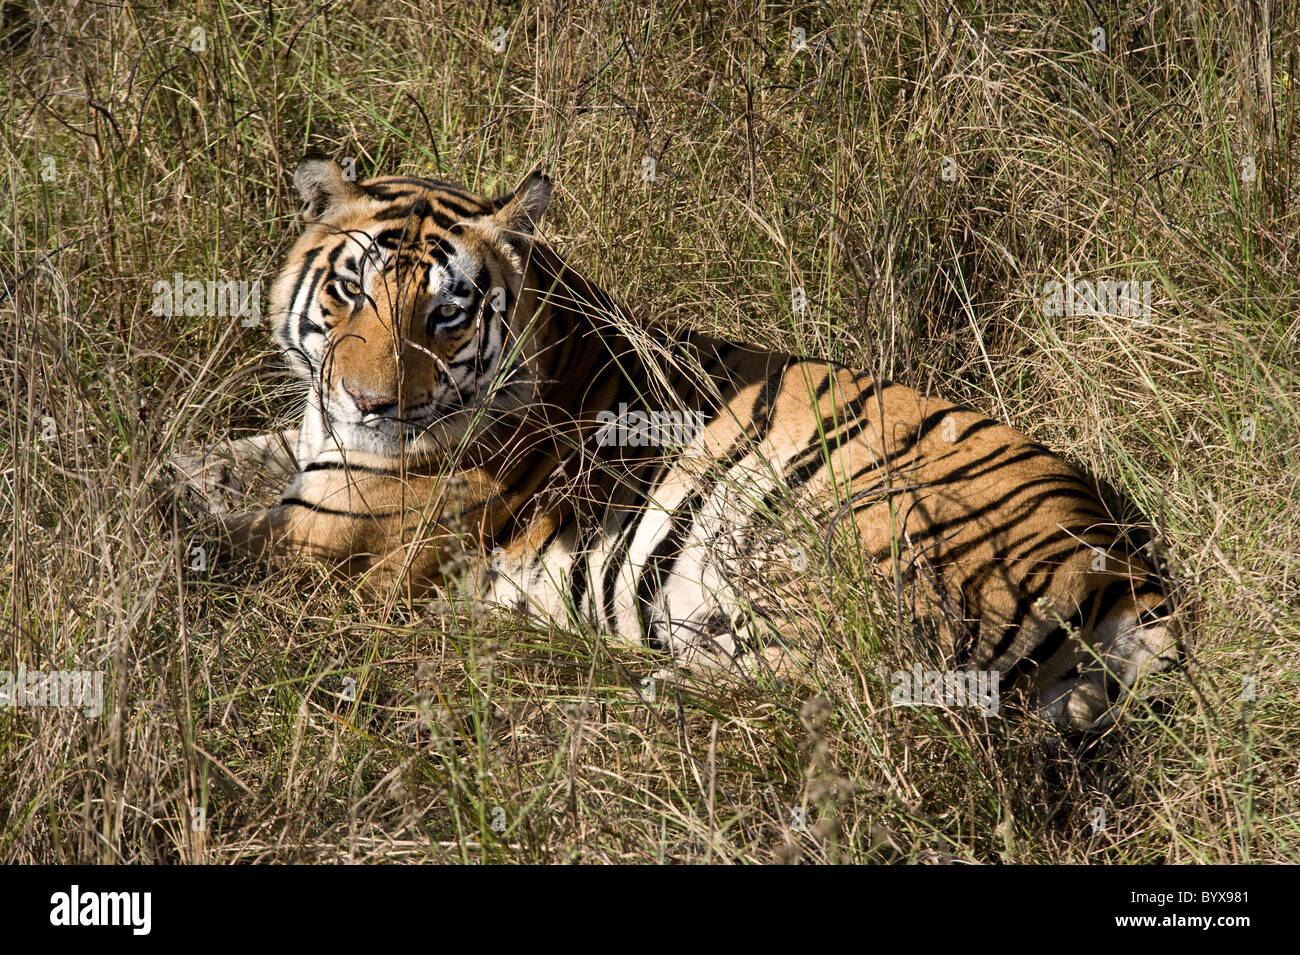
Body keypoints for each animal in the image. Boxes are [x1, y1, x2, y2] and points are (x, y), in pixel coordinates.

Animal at [171, 155, 1179, 731]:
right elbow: (209, 462)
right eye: (351, 291)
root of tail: (1129, 564)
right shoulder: (312, 460)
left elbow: (204, 544)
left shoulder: (330, 534)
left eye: (446, 314)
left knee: (823, 691)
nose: (372, 403)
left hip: (830, 549)